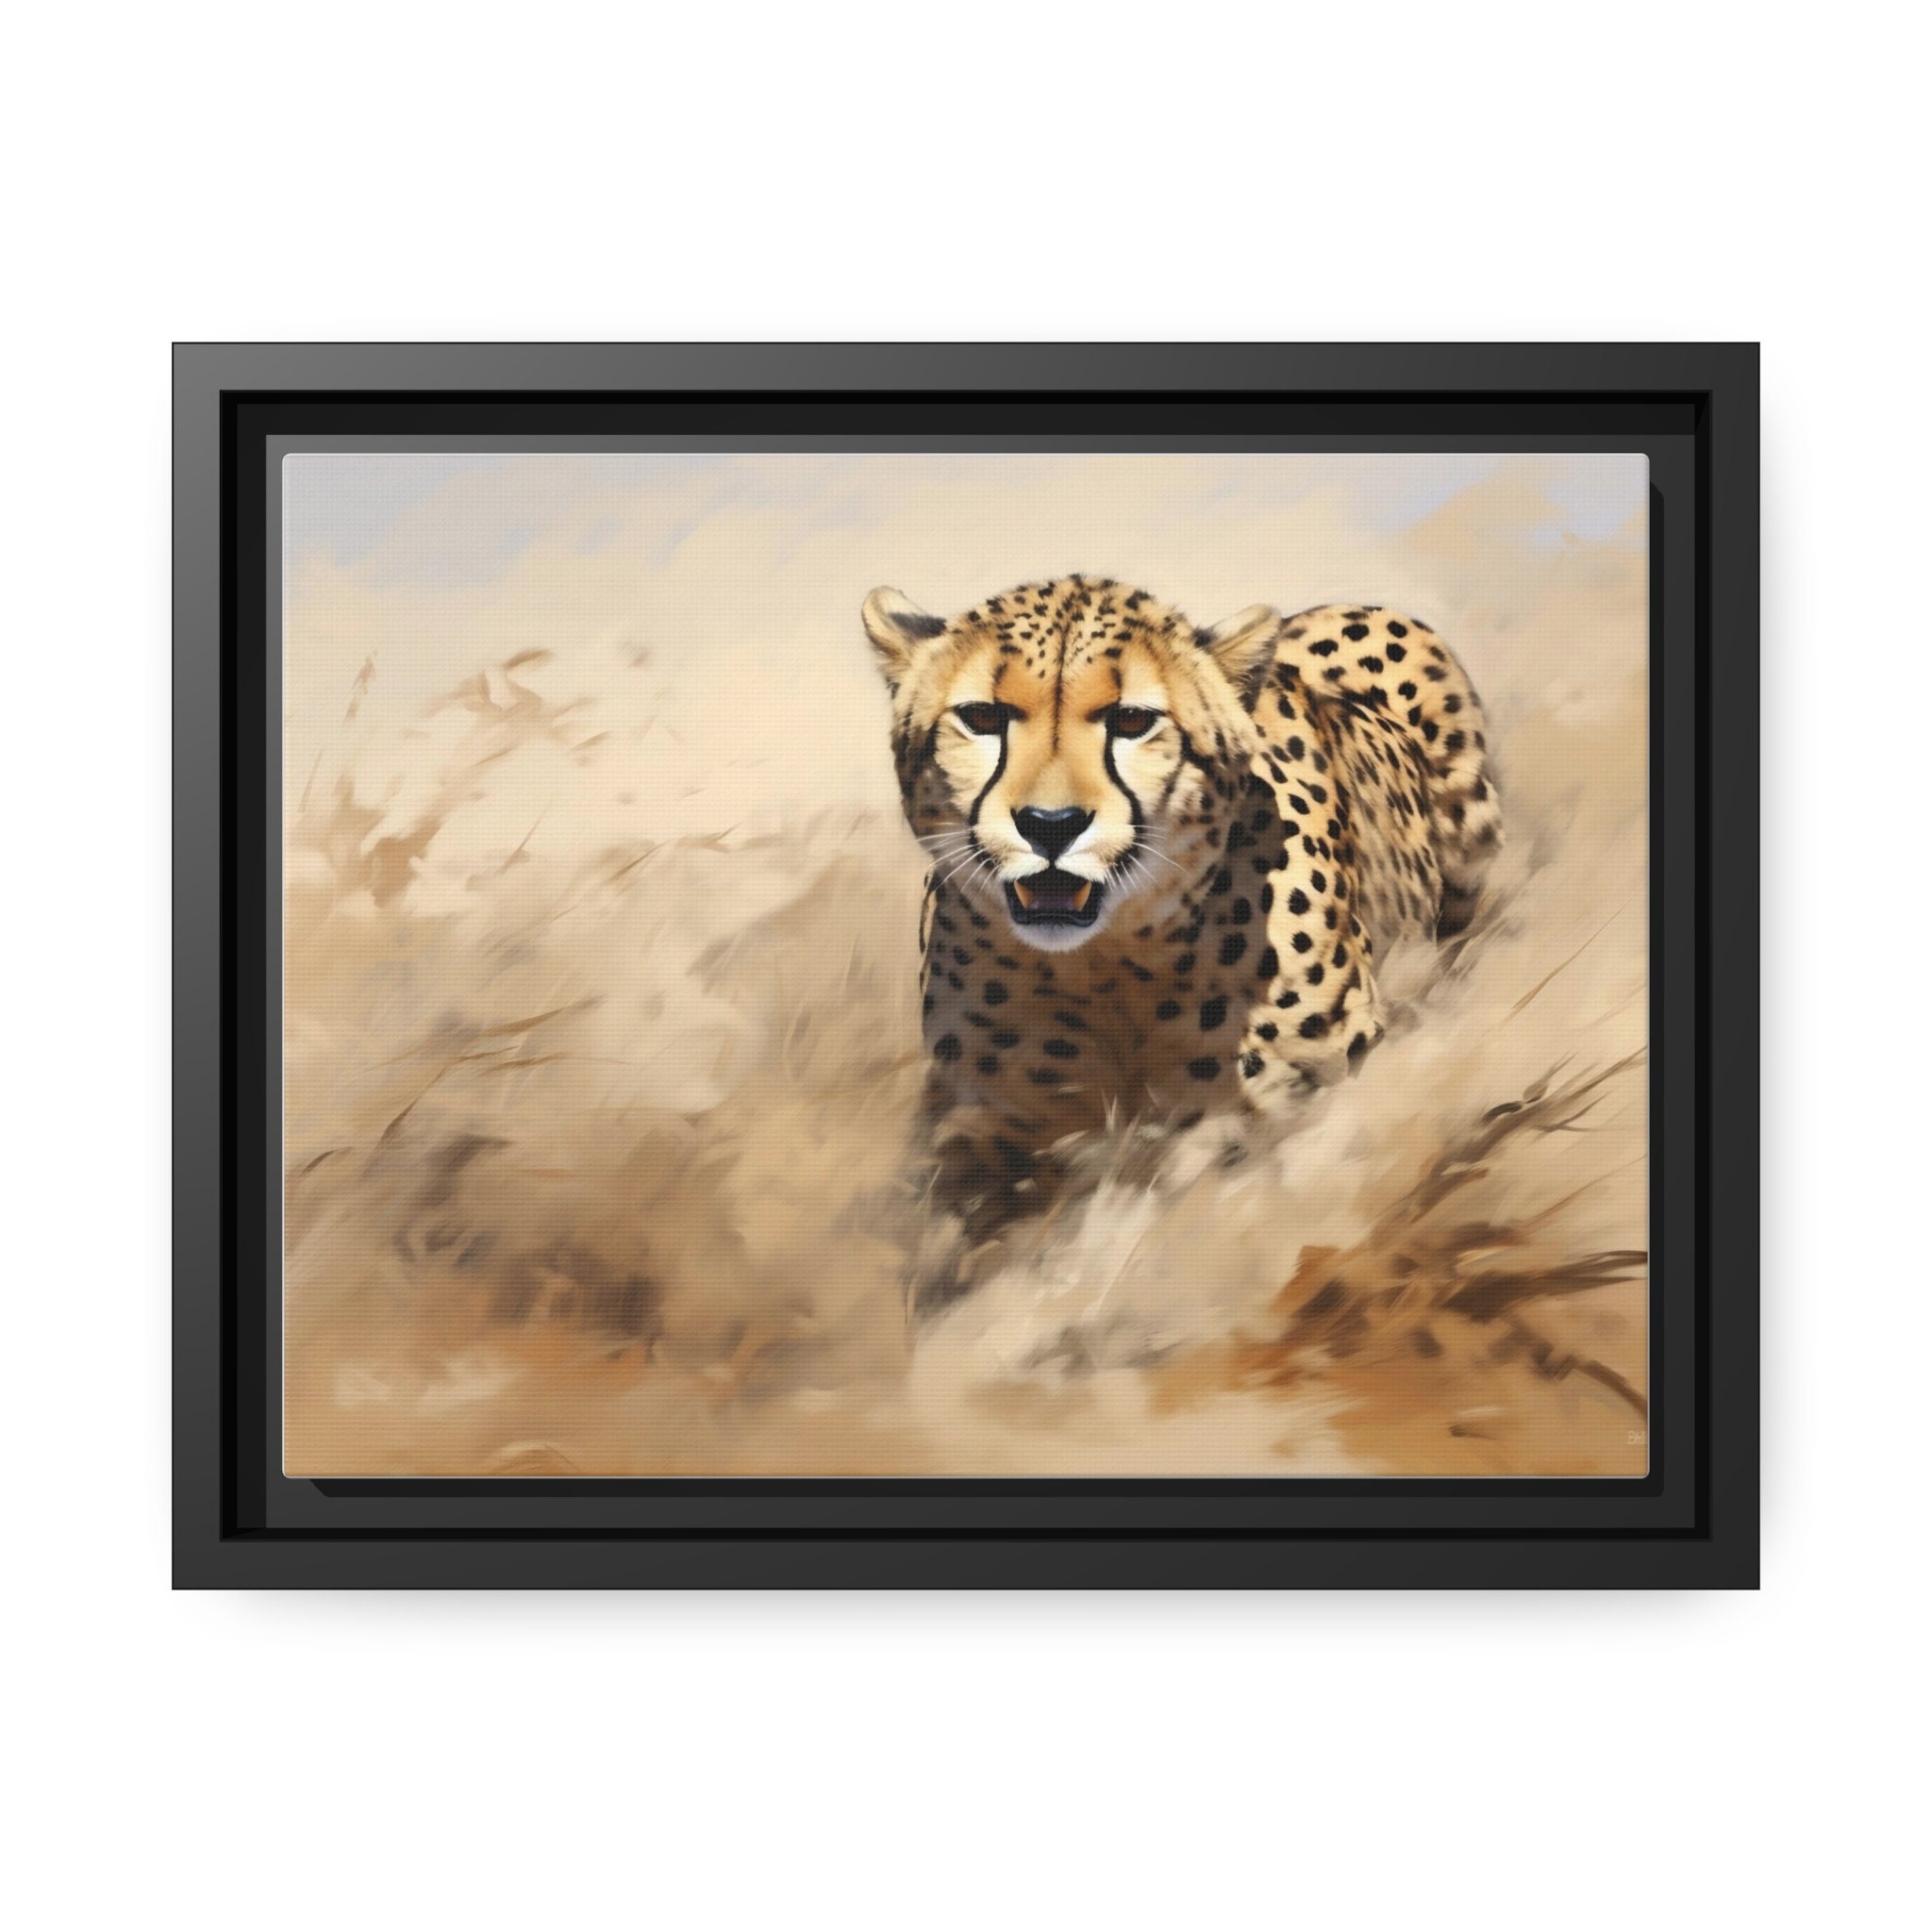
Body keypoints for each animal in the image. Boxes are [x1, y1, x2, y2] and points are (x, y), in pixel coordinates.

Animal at [864, 574, 1501, 1269]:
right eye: (982, 717)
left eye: (1132, 721)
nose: (1050, 825)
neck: (1108, 965)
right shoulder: (999, 1139)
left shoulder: (1294, 1090)